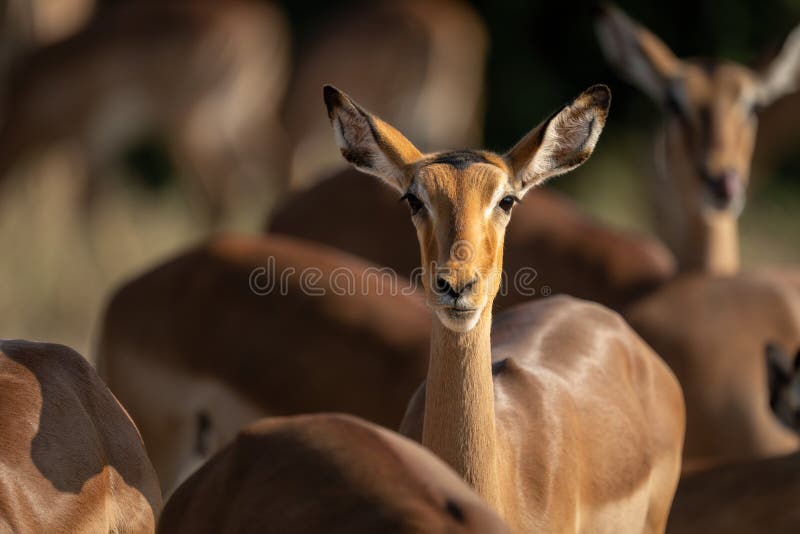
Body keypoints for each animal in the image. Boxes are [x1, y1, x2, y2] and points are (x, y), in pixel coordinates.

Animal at [0, 0, 290, 227]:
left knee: (218, 197)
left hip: (195, 127)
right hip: (241, 116)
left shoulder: (88, 143)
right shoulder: (101, 149)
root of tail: (268, 26)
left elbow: (85, 214)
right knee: (271, 163)